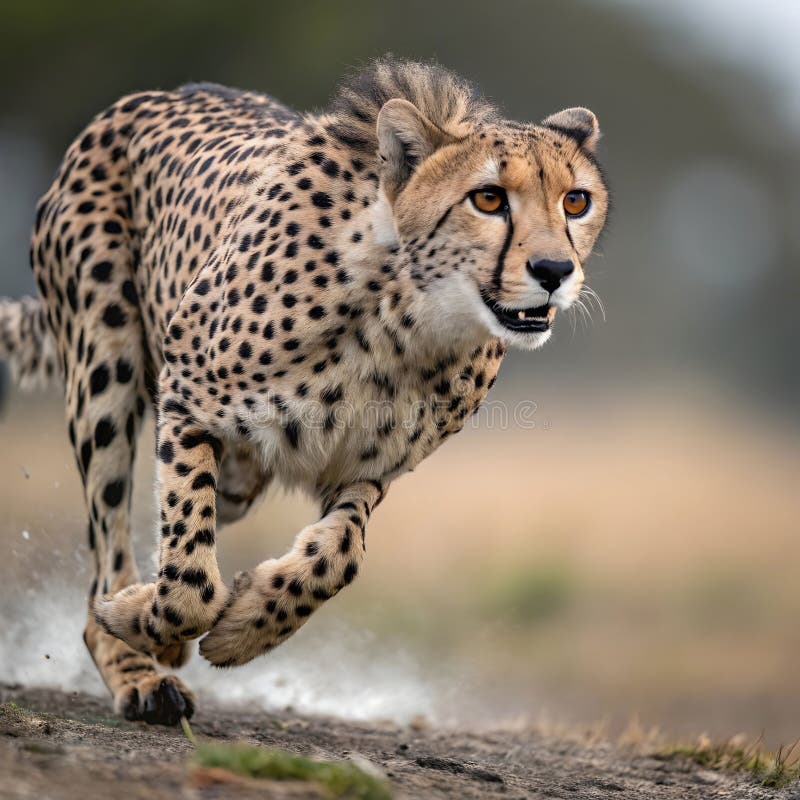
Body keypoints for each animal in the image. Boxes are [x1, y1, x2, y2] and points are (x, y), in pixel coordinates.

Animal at [0, 58, 609, 725]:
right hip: (102, 367)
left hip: (238, 477)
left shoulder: (368, 468)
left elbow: (336, 557)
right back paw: (136, 665)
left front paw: (243, 626)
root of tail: (142, 99)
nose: (554, 272)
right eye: (489, 198)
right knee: (106, 548)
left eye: (576, 200)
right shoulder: (186, 394)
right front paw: (151, 621)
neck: (404, 317)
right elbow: (188, 575)